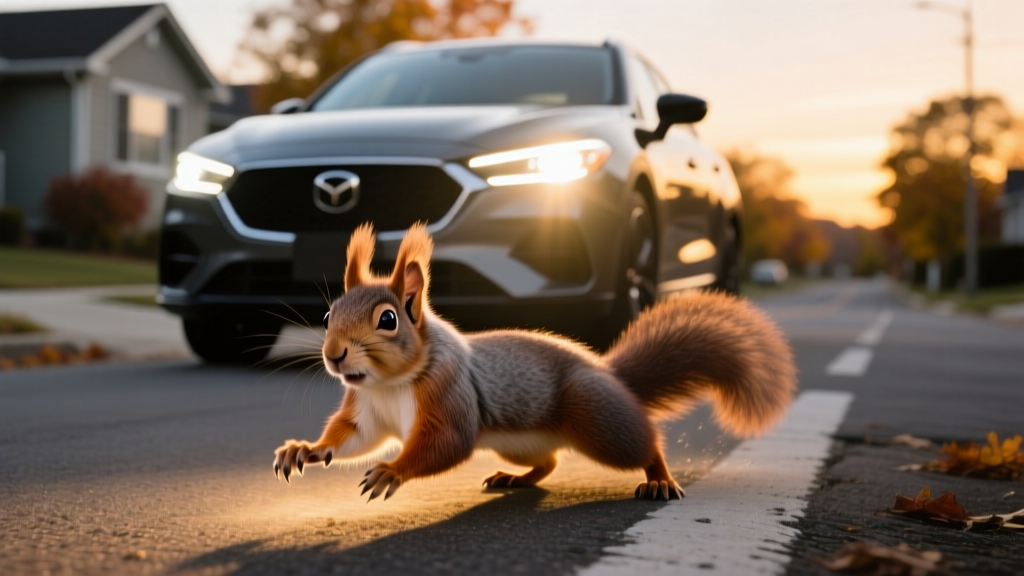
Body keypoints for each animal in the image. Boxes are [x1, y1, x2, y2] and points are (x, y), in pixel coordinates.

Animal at [273, 222, 796, 501]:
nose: (334, 354)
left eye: (388, 319)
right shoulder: (366, 409)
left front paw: (392, 471)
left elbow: (446, 442)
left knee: (642, 443)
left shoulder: (449, 393)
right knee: (547, 461)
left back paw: (660, 480)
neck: (389, 383)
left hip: (599, 421)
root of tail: (612, 377)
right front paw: (305, 449)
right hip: (523, 441)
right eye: (328, 315)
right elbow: (352, 438)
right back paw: (514, 478)